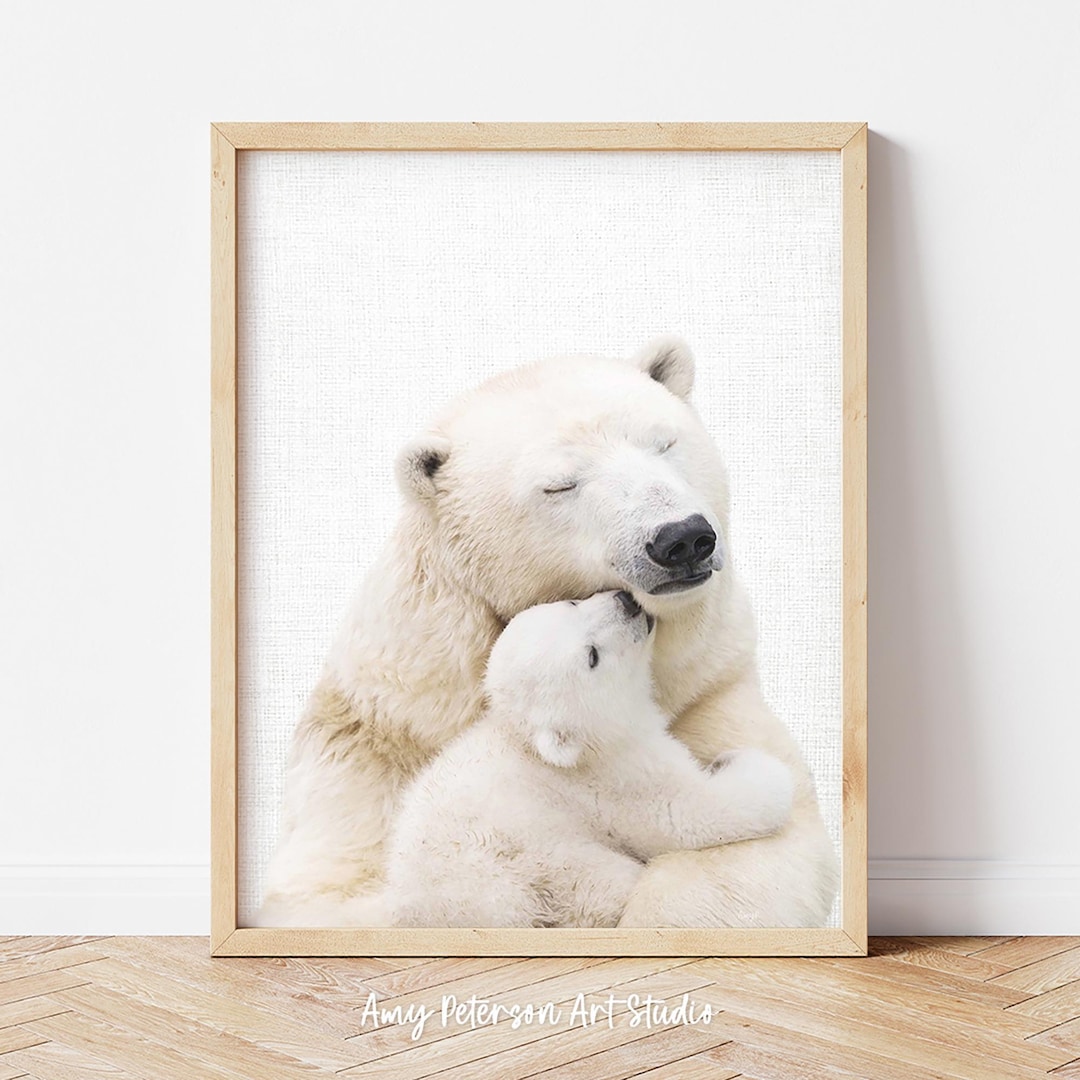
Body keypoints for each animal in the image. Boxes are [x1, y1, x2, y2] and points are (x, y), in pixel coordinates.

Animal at [385, 589, 795, 928]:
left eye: (571, 602)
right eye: (592, 656)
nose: (627, 602)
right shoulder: (614, 777)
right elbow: (688, 814)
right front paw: (745, 764)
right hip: (527, 865)